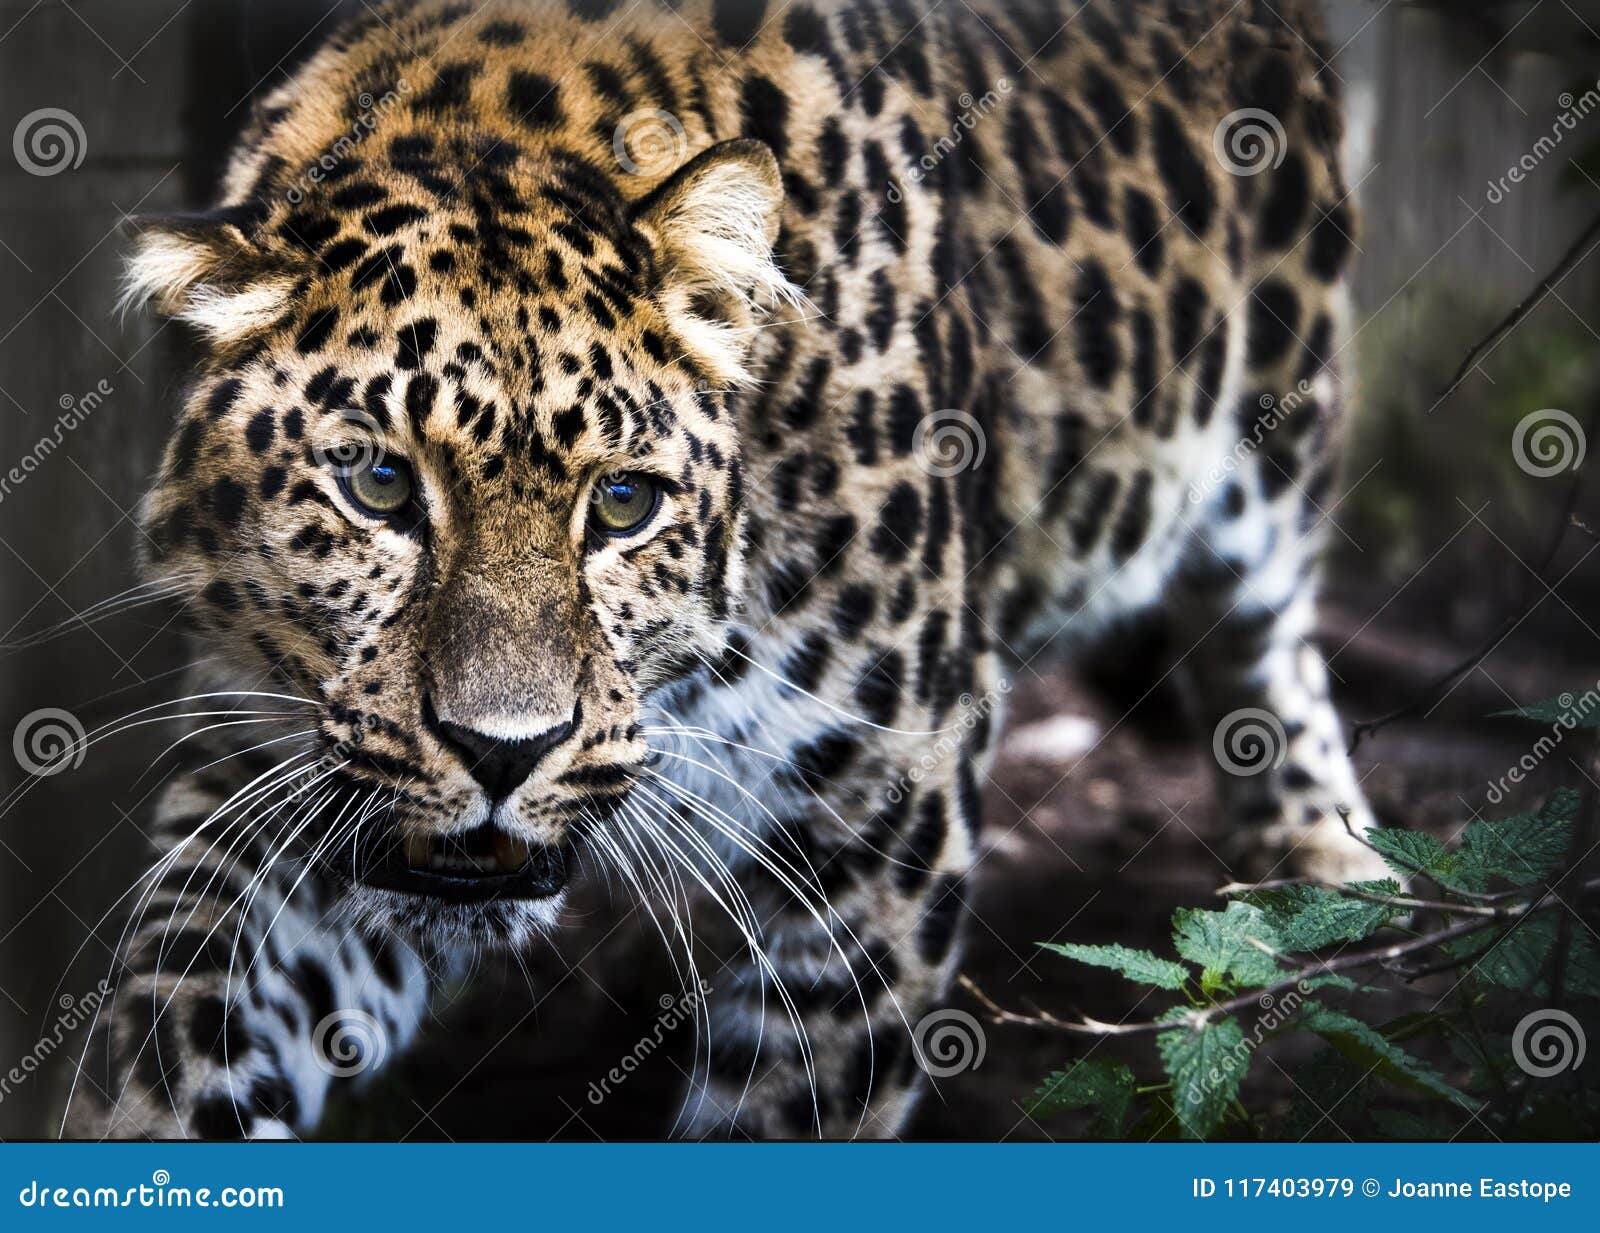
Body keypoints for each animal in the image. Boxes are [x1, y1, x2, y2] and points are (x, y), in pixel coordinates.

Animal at [62, 0, 1390, 1141]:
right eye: (379, 486)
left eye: (623, 503)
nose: (502, 754)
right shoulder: (273, 778)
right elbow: (178, 1010)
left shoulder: (882, 816)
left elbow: (792, 1105)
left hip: (1276, 420)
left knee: (1265, 632)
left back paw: (1328, 868)